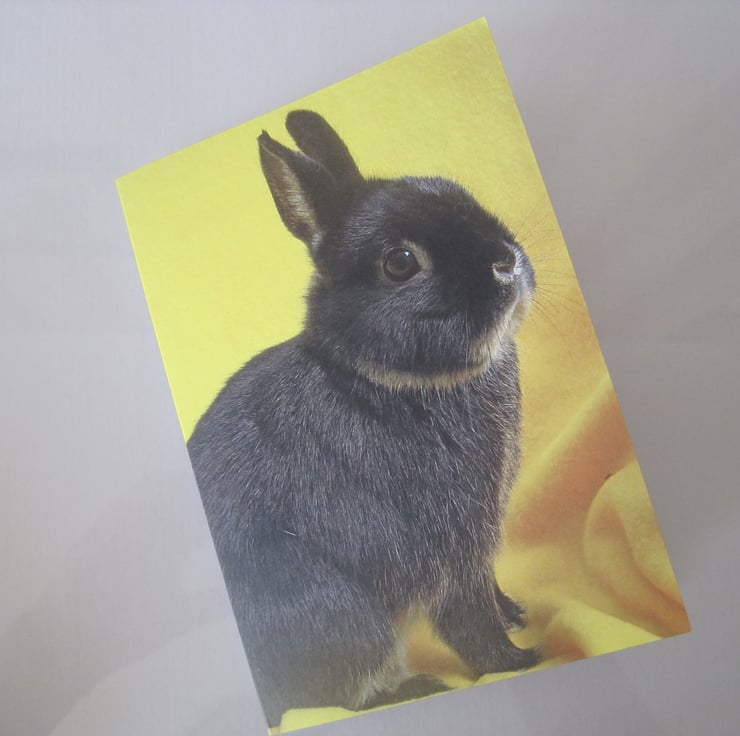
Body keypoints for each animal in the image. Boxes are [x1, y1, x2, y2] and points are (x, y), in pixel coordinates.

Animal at [187, 110, 541, 727]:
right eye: (400, 262)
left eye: (456, 192)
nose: (506, 262)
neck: (378, 378)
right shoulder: (449, 543)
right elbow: (468, 617)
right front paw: (518, 661)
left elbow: (489, 592)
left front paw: (518, 613)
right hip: (334, 606)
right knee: (340, 694)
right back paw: (417, 687)